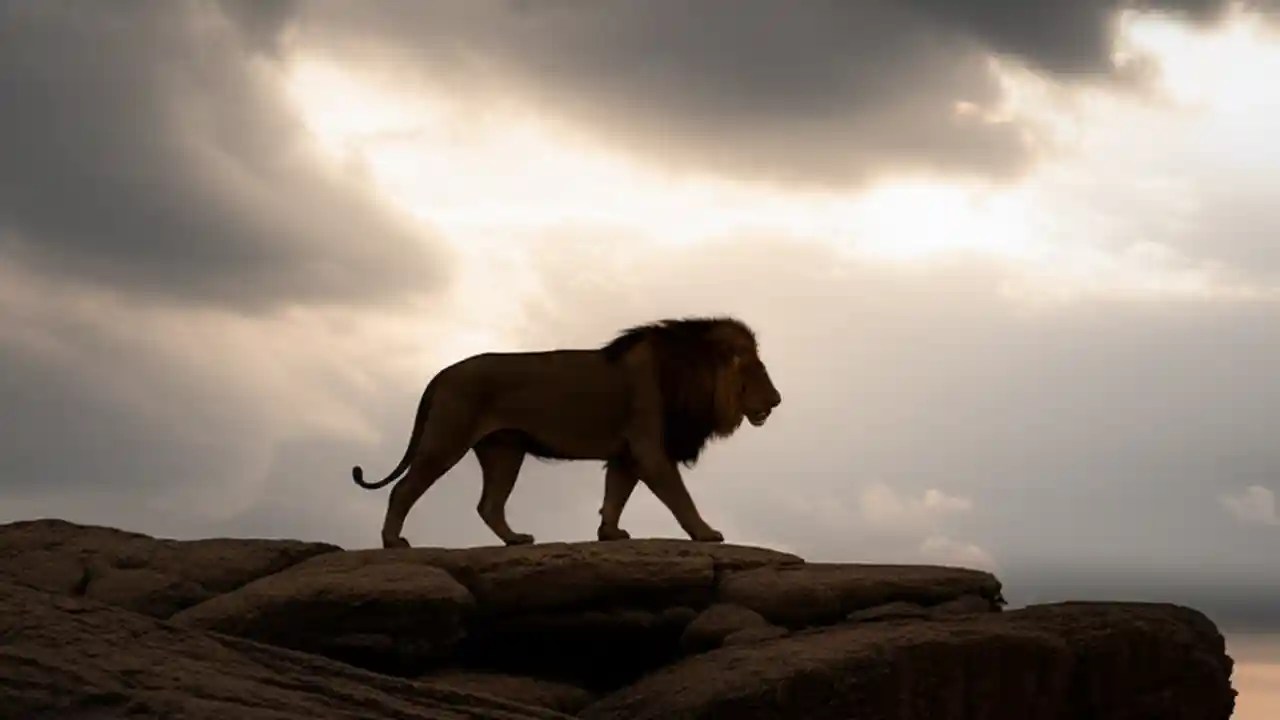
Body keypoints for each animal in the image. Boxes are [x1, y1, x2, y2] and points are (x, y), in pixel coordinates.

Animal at [351, 316, 782, 548]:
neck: (692, 374)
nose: (778, 400)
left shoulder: (627, 453)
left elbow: (615, 495)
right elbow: (680, 497)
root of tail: (440, 374)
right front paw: (706, 534)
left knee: (489, 504)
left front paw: (610, 533)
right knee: (403, 489)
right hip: (447, 439)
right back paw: (392, 542)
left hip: (504, 450)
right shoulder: (650, 448)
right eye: (758, 370)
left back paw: (515, 539)